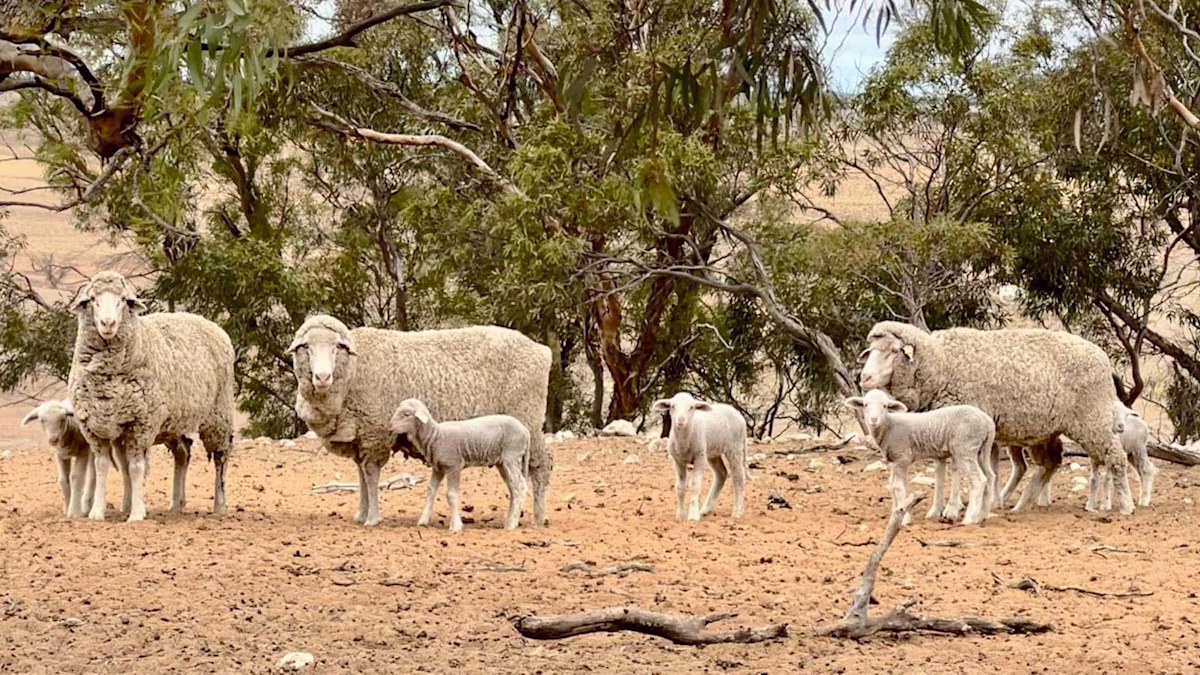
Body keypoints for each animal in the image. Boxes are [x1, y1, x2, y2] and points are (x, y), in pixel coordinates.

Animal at [68, 270, 236, 522]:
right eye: (93, 299)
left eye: (123, 300)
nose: (108, 324)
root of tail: (207, 321)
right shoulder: (96, 428)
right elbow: (103, 467)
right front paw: (98, 512)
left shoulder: (141, 424)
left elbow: (136, 468)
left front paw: (136, 513)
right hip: (174, 422)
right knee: (183, 454)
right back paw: (176, 504)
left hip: (219, 415)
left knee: (220, 458)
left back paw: (220, 505)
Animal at [388, 398, 529, 532]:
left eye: (406, 414)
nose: (389, 428)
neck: (434, 436)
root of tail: (525, 430)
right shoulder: (438, 468)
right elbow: (431, 490)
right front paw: (423, 521)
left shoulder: (453, 466)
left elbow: (451, 495)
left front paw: (456, 525)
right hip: (502, 463)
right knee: (513, 488)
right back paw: (509, 520)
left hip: (511, 456)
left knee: (520, 486)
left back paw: (511, 524)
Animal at [650, 392, 747, 521]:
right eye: (672, 406)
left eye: (691, 407)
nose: (681, 420)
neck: (684, 443)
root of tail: (738, 414)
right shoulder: (678, 460)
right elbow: (680, 487)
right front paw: (681, 515)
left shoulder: (699, 457)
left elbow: (695, 485)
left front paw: (693, 516)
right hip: (713, 452)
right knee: (721, 474)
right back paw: (705, 509)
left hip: (734, 448)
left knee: (738, 477)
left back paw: (738, 512)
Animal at [845, 388, 996, 526]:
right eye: (865, 405)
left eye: (885, 406)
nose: (874, 419)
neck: (889, 426)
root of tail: (987, 420)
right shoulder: (895, 460)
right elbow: (893, 485)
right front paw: (896, 513)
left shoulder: (902, 457)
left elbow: (898, 487)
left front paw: (903, 519)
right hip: (983, 450)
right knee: (990, 476)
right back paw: (982, 516)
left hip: (966, 447)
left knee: (978, 480)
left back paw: (970, 519)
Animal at [858, 321, 1134, 514]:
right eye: (870, 351)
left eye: (894, 350)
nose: (864, 377)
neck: (941, 364)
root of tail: (1102, 357)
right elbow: (946, 468)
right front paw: (952, 506)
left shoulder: (963, 423)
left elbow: (960, 468)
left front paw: (954, 508)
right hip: (1046, 430)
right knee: (1050, 462)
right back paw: (1022, 504)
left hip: (1092, 417)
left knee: (1116, 456)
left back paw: (1127, 504)